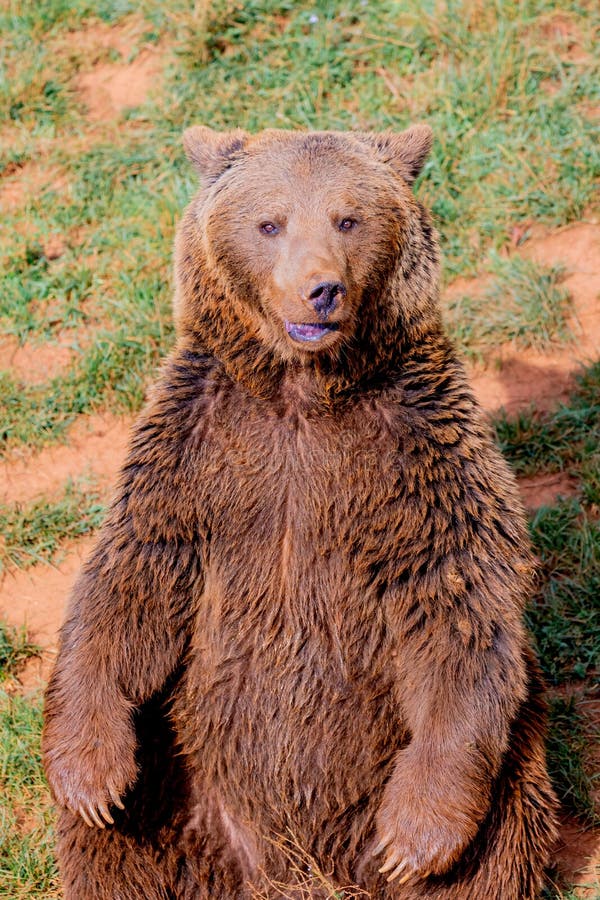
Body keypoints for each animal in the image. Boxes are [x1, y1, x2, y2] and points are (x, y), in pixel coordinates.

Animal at [43, 125, 558, 899]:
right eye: (270, 222)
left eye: (349, 218)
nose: (322, 289)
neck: (302, 392)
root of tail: (299, 867)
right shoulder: (198, 452)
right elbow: (134, 579)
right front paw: (89, 776)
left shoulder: (418, 456)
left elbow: (456, 597)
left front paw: (416, 837)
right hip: (183, 776)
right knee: (115, 846)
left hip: (495, 765)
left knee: (500, 836)